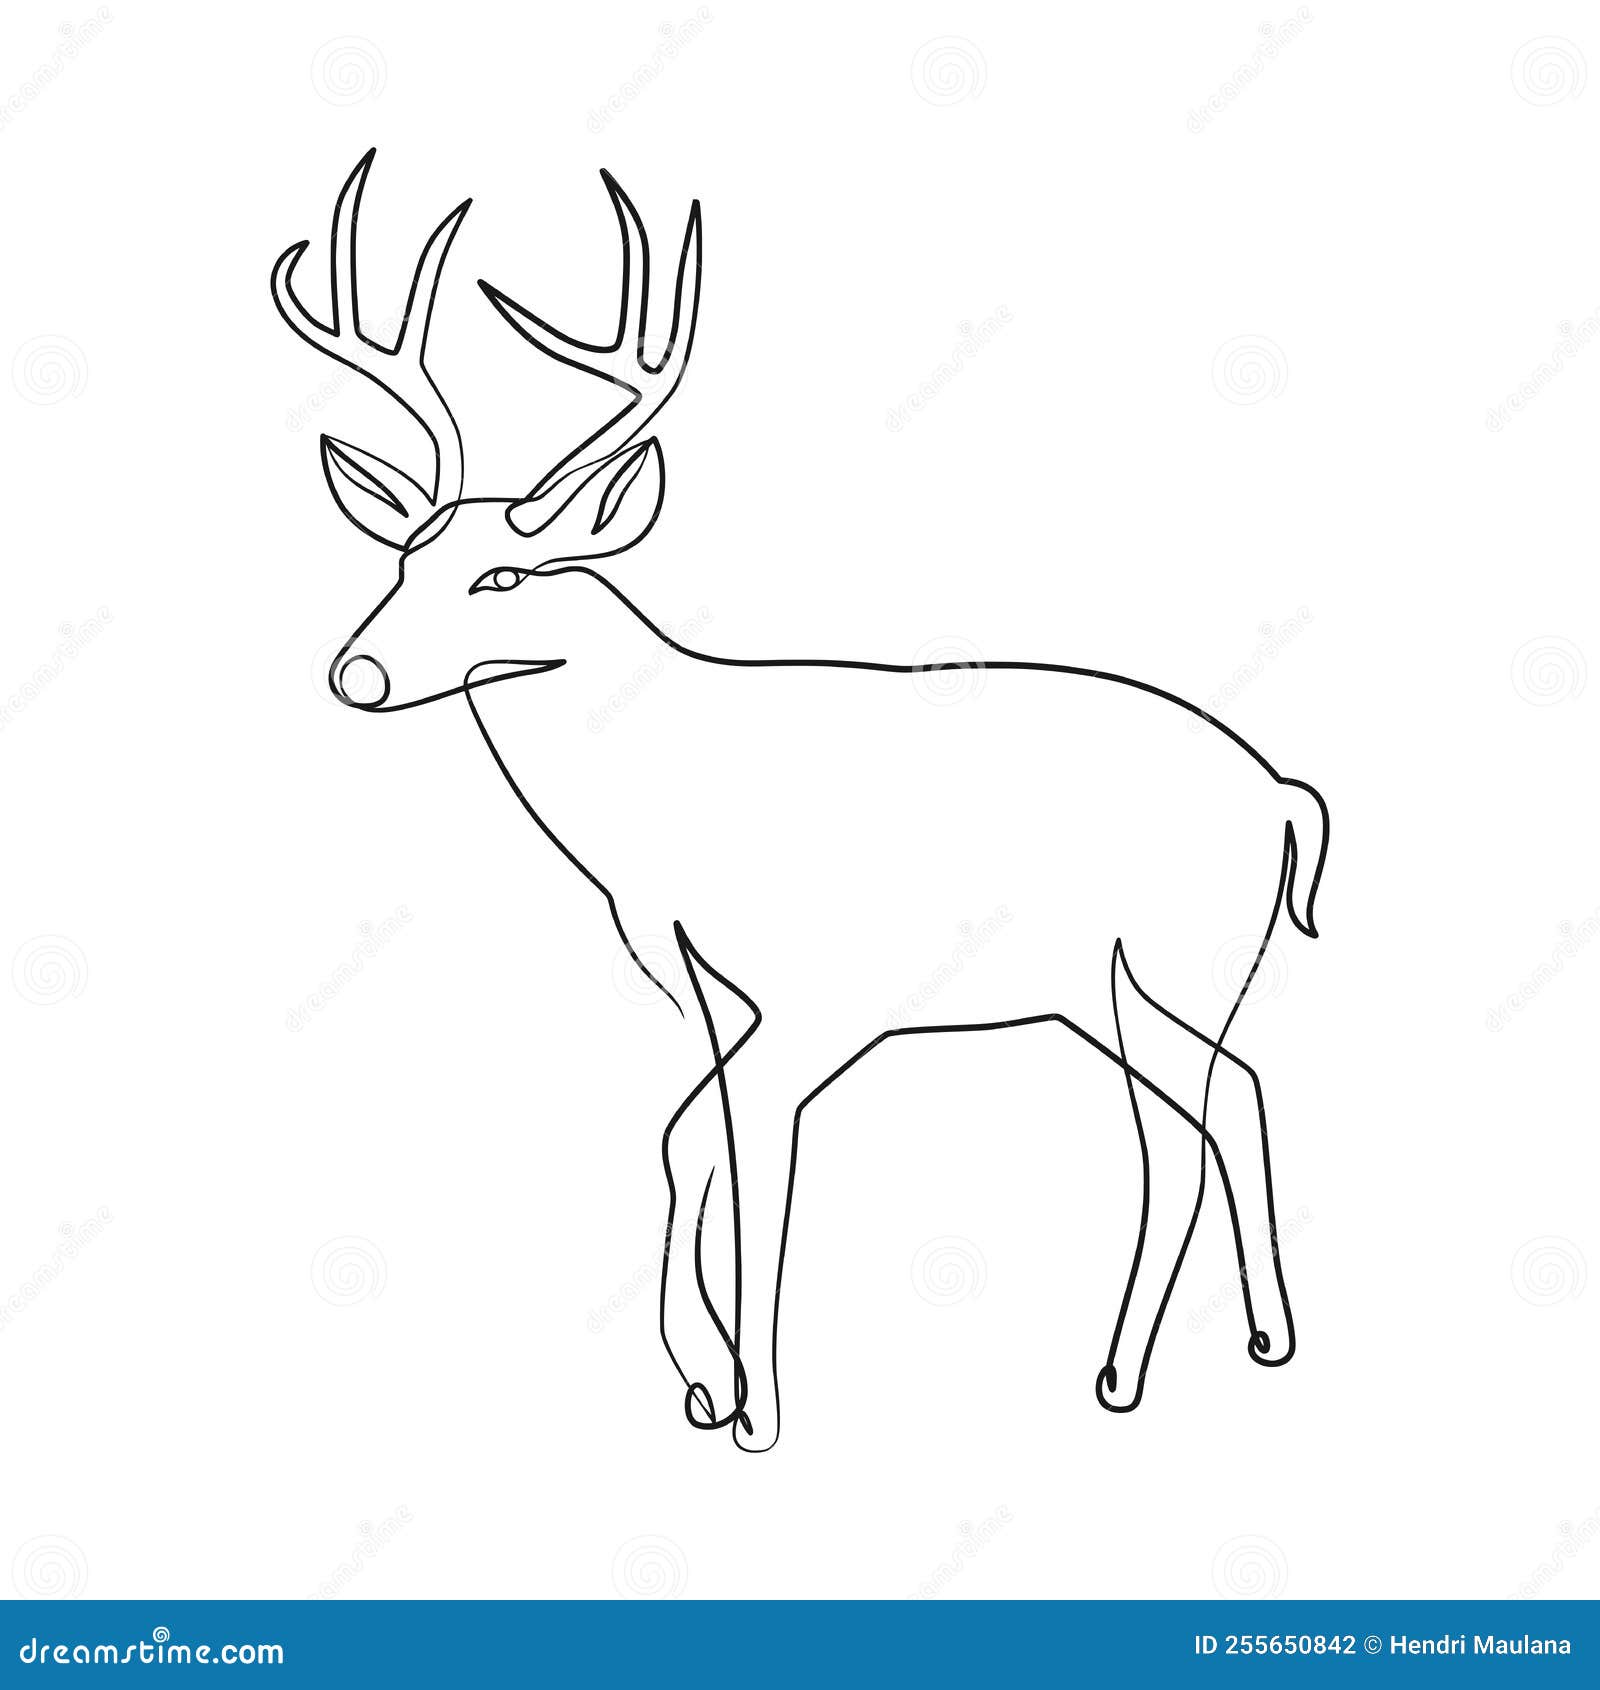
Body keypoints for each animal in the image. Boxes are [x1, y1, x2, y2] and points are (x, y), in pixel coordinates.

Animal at [271, 153, 1330, 1452]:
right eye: (403, 557)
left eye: (503, 573)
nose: (356, 672)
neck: (656, 803)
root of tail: (1282, 796)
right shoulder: (707, 986)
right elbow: (684, 1137)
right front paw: (701, 1379)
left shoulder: (831, 987)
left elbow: (752, 1160)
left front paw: (757, 1412)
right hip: (1111, 989)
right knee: (1223, 1104)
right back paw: (1225, 1348)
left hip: (1172, 960)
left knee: (1195, 1122)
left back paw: (1153, 1366)